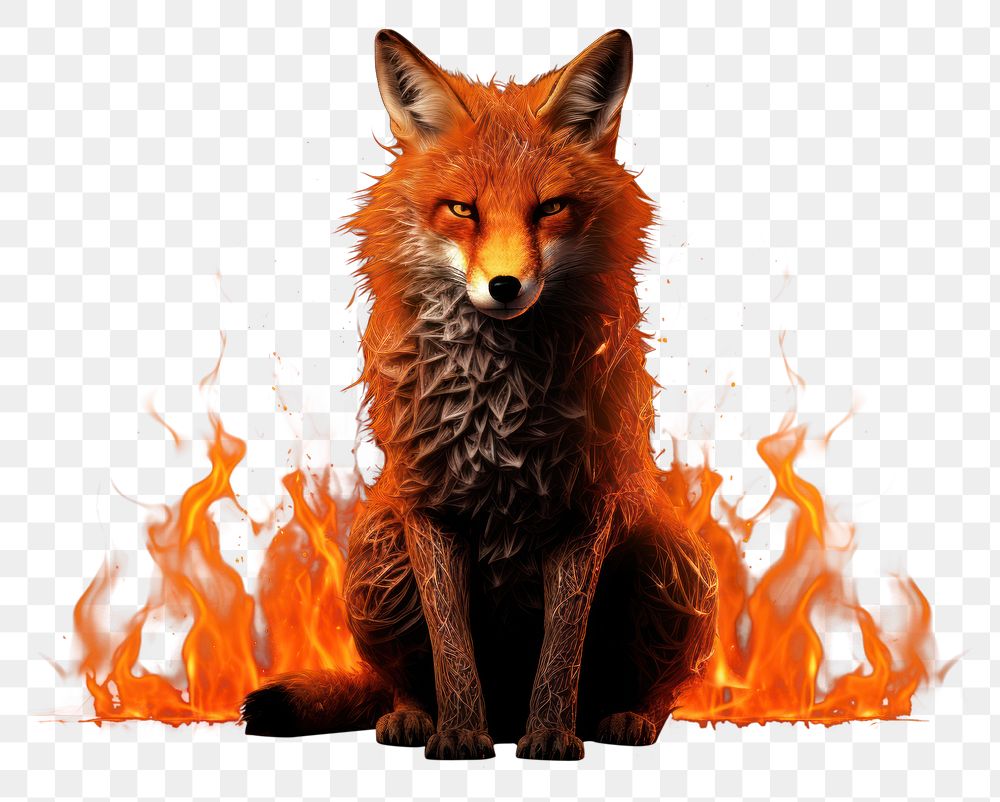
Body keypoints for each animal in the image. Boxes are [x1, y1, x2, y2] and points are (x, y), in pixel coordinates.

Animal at [240, 28, 718, 760]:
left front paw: (552, 735)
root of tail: (507, 713)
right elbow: (451, 650)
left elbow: (561, 652)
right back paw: (414, 717)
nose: (504, 286)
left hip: (668, 558)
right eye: (463, 209)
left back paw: (620, 718)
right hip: (378, 550)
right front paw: (461, 733)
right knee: (402, 683)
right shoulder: (429, 507)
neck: (501, 408)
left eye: (550, 208)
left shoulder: (585, 507)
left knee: (650, 694)